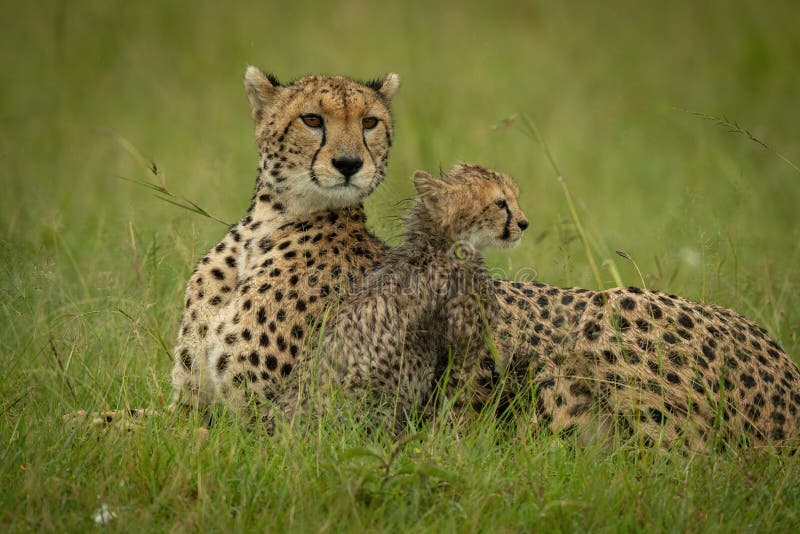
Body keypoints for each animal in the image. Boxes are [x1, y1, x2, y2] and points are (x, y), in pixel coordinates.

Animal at [276, 164, 529, 433]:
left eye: (514, 198)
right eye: (500, 203)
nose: (524, 223)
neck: (441, 244)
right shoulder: (462, 351)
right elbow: (453, 405)